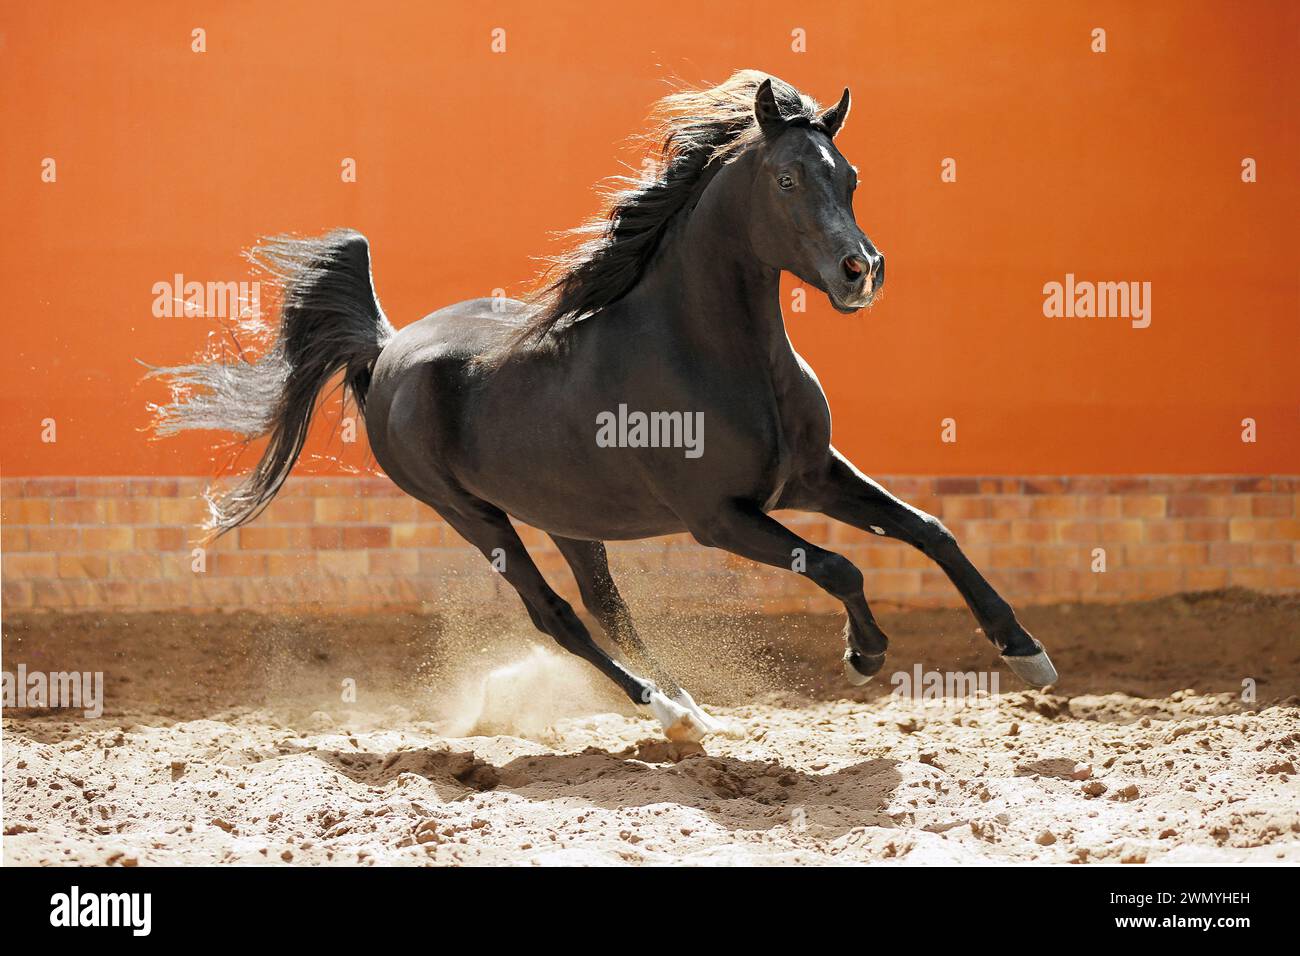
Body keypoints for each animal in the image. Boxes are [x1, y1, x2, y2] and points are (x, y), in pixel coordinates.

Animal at [150, 71, 1057, 742]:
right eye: (789, 177)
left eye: (852, 176)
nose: (860, 272)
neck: (715, 357)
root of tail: (388, 347)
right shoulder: (719, 518)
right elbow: (840, 565)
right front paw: (864, 656)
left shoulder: (809, 476)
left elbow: (928, 530)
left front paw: (1027, 653)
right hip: (471, 516)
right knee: (556, 616)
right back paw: (667, 715)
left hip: (564, 516)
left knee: (605, 610)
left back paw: (687, 708)